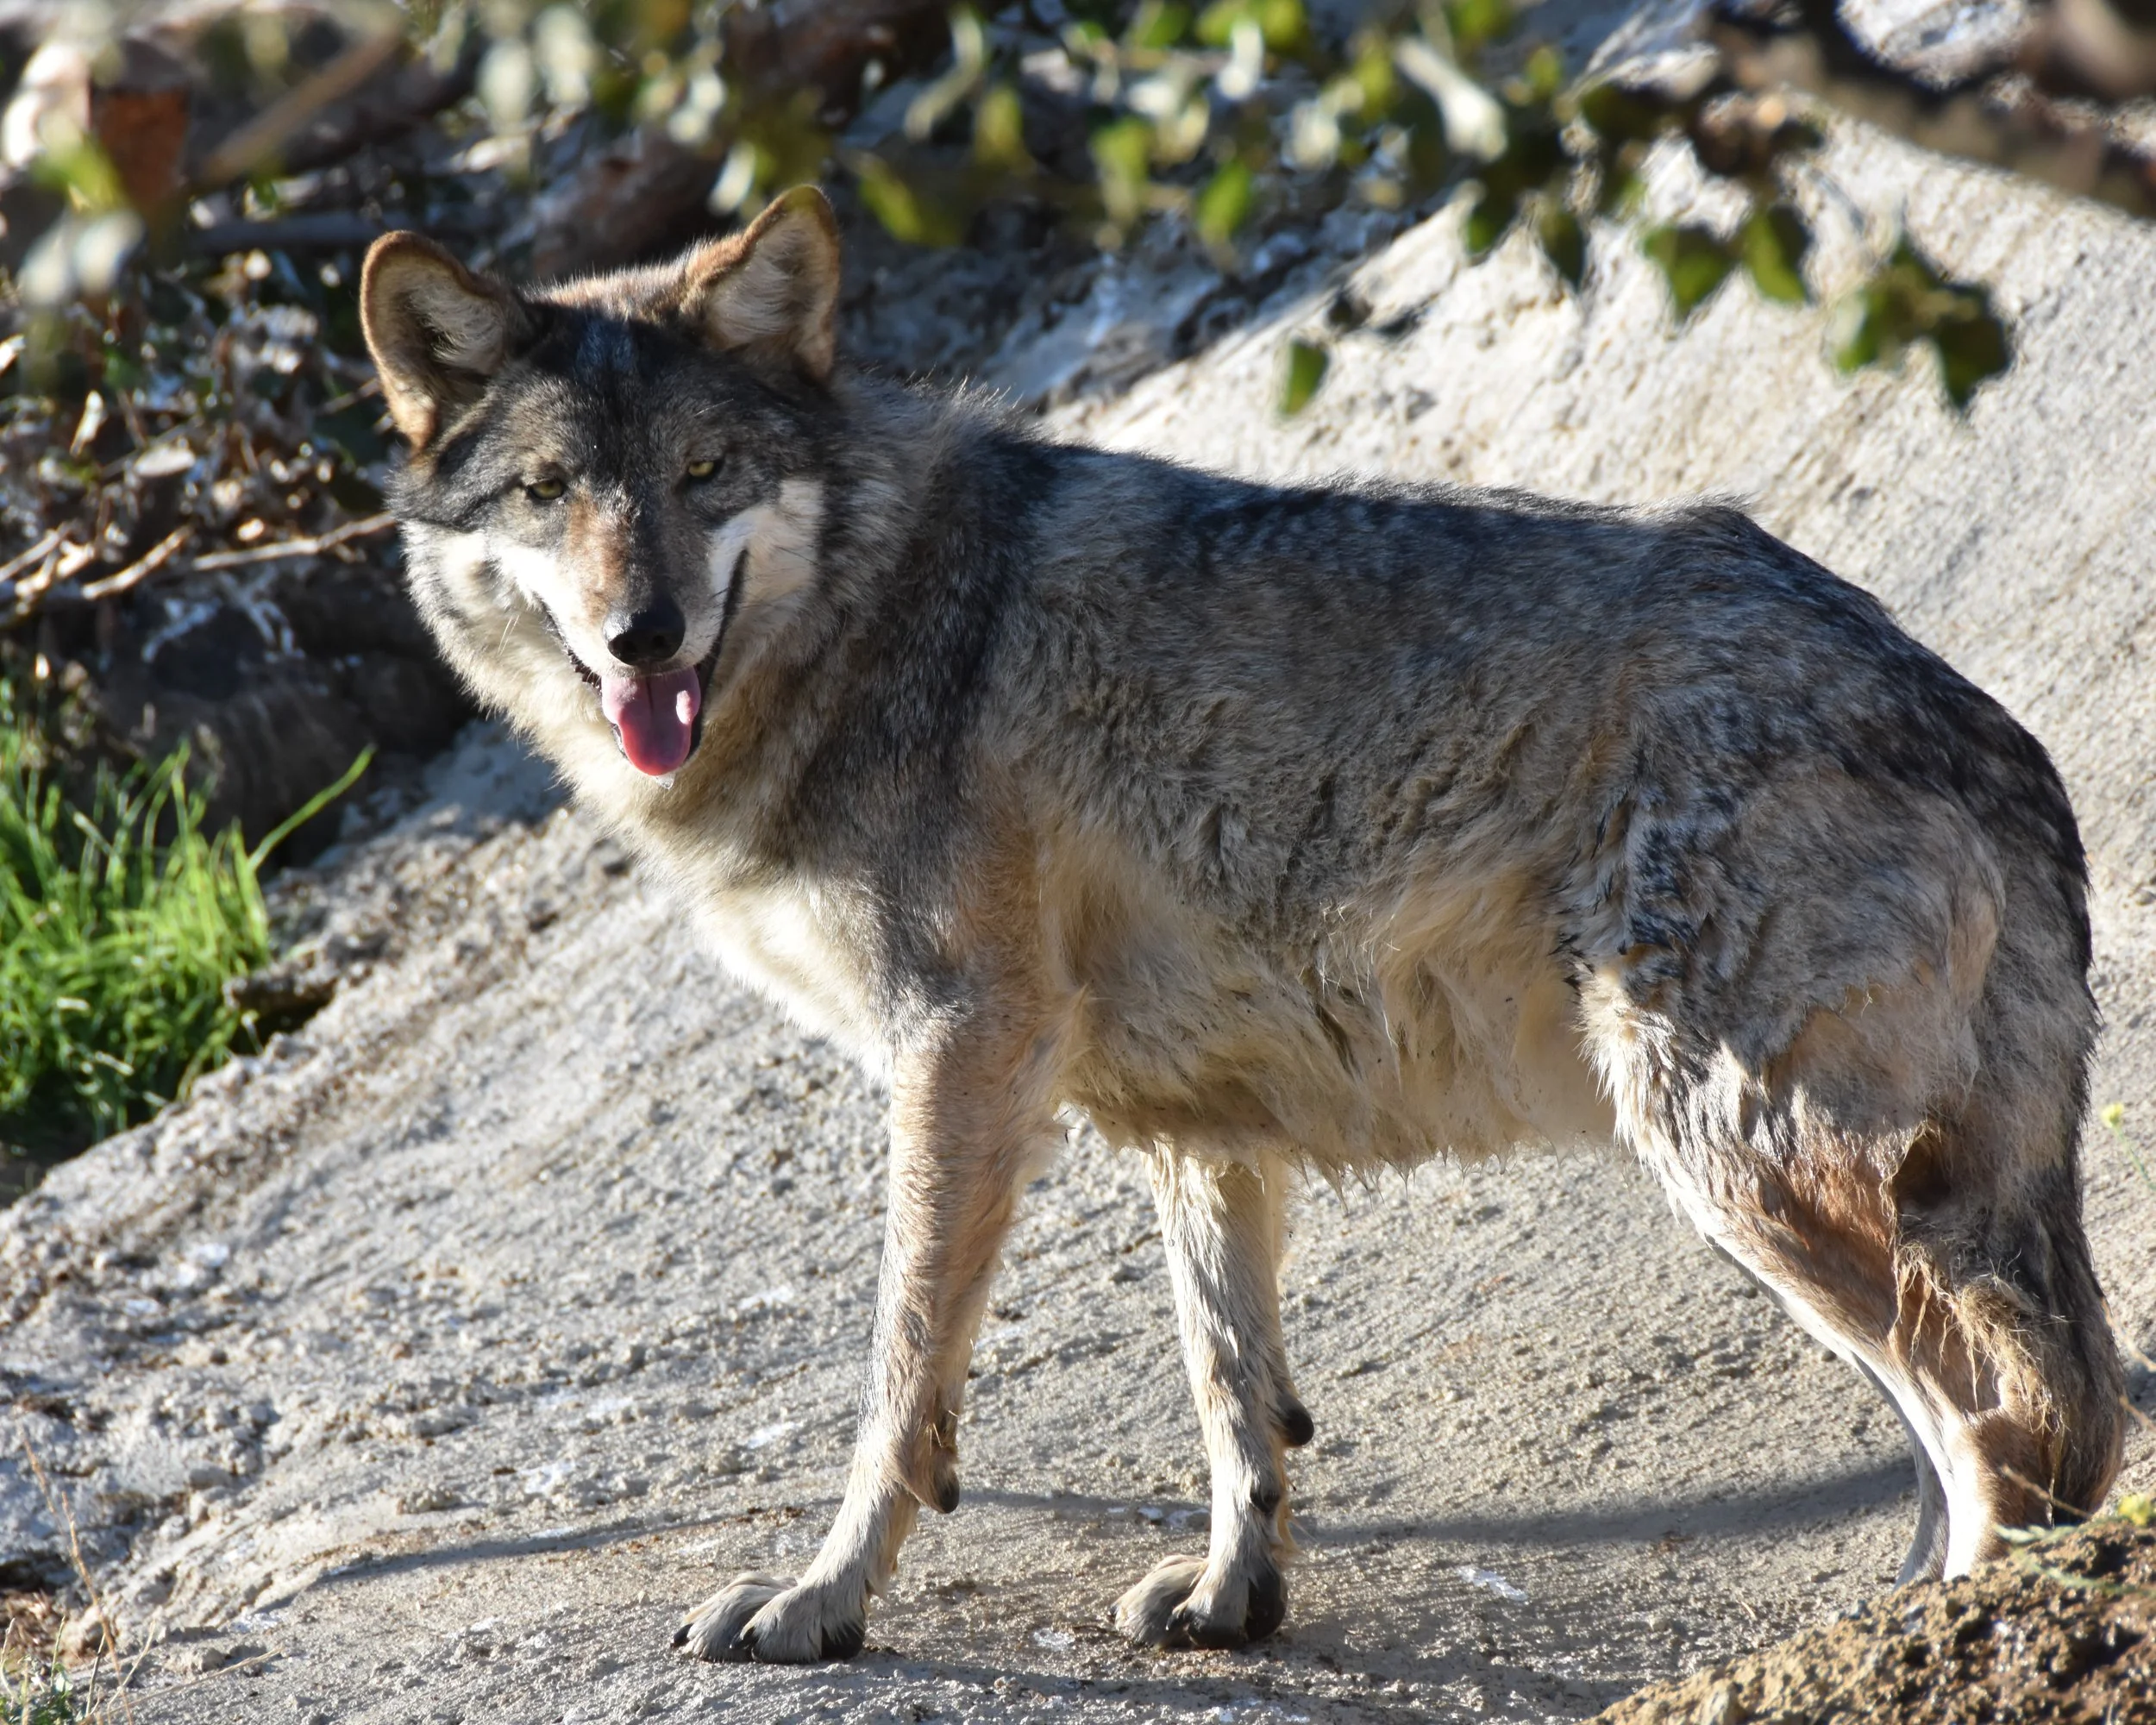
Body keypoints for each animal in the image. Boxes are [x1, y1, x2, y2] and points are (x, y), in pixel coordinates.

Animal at [359, 186, 2124, 1663]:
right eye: (548, 492)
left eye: (701, 475)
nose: (640, 636)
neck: (880, 628)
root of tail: (1982, 727)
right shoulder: (1195, 1125)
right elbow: (1236, 1396)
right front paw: (1234, 1596)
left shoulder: (960, 1052)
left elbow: (901, 1380)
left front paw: (820, 1604)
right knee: (2017, 1429)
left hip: (1731, 1160)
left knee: (2008, 1431)